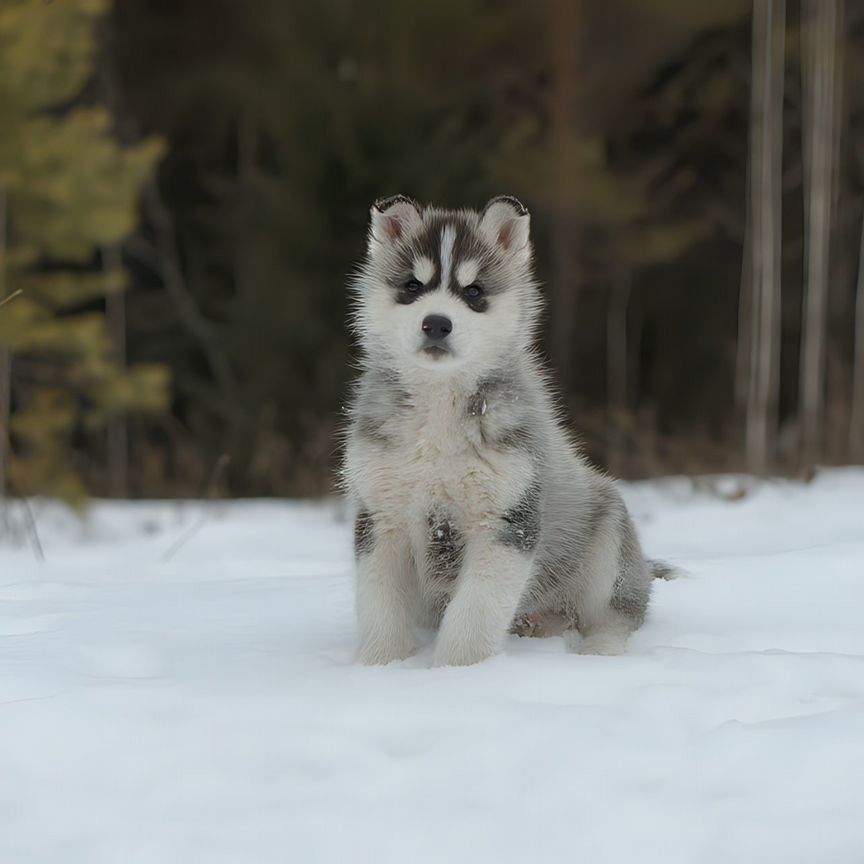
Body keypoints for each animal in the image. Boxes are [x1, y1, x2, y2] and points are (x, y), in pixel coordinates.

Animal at [342, 197, 660, 668]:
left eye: (474, 292)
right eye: (412, 286)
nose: (436, 324)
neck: (441, 402)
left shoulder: (508, 520)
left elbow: (475, 611)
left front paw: (460, 671)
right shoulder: (382, 516)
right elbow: (380, 604)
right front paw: (379, 666)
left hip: (608, 542)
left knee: (614, 615)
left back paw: (596, 653)